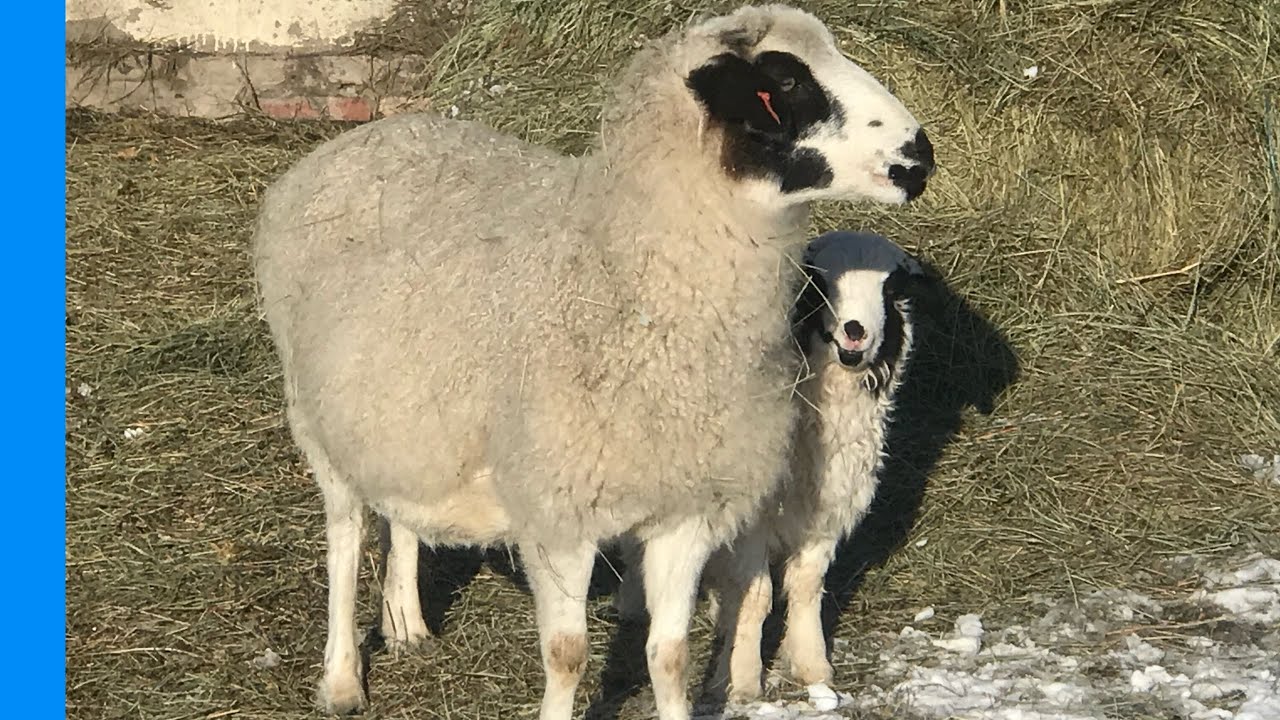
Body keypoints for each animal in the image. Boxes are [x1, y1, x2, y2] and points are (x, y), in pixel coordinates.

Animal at [252, 5, 935, 719]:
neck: (620, 273)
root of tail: (367, 134)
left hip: (401, 419)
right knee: (345, 537)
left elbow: (670, 653)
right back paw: (341, 678)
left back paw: (406, 623)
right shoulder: (559, 514)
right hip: (315, 419)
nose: (920, 157)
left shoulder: (687, 510)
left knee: (399, 511)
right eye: (785, 82)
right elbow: (567, 654)